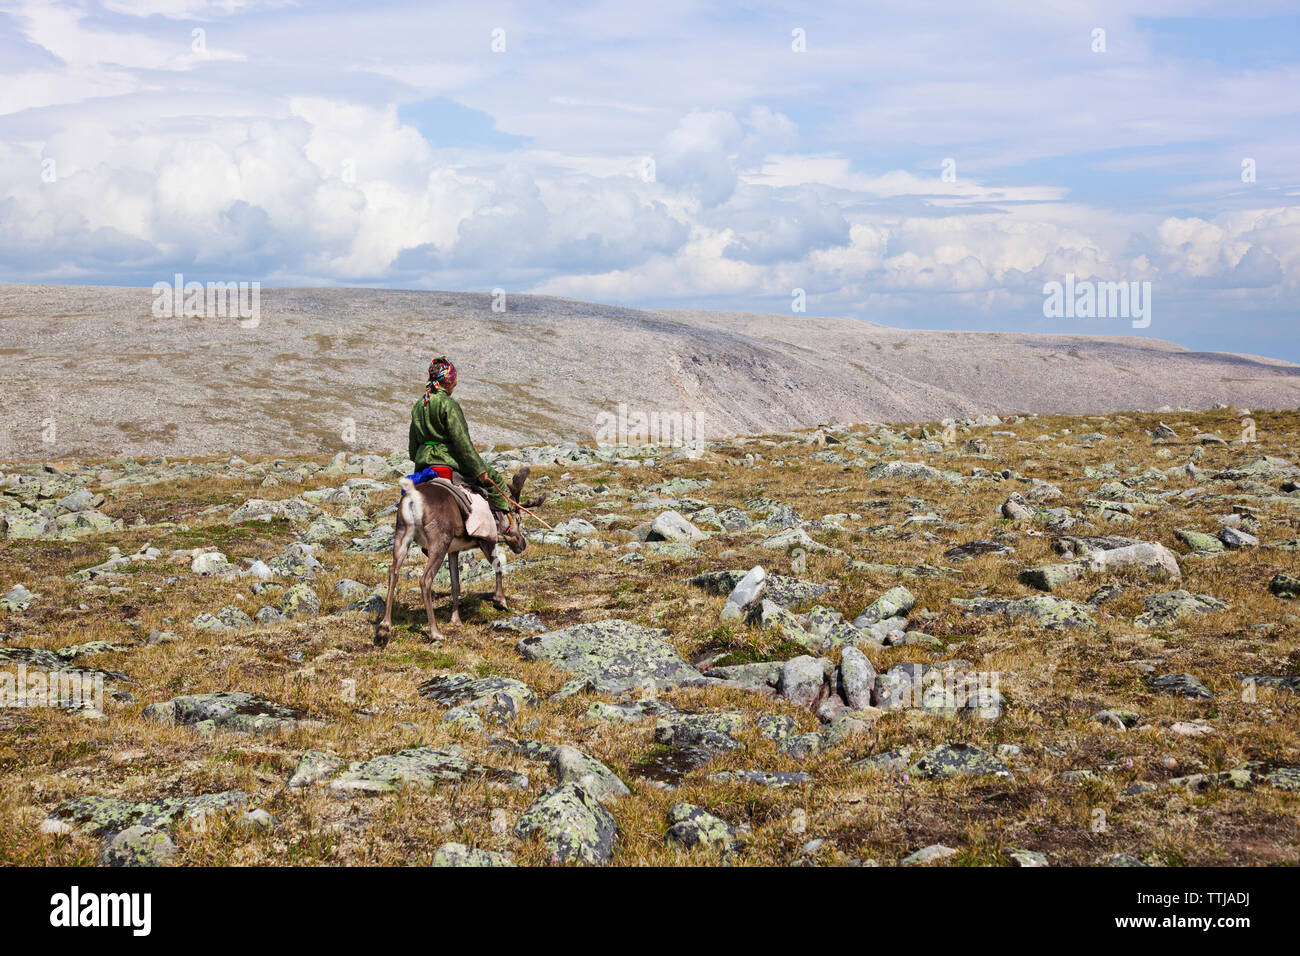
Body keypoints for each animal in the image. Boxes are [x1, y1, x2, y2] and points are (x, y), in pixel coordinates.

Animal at [374, 466, 545, 646]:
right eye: (518, 519)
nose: (522, 544)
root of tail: (413, 498)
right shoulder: (486, 540)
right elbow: (498, 567)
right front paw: (501, 601)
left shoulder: (453, 550)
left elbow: (455, 584)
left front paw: (455, 619)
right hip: (439, 542)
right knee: (425, 579)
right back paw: (435, 632)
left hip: (402, 534)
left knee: (393, 572)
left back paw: (384, 629)